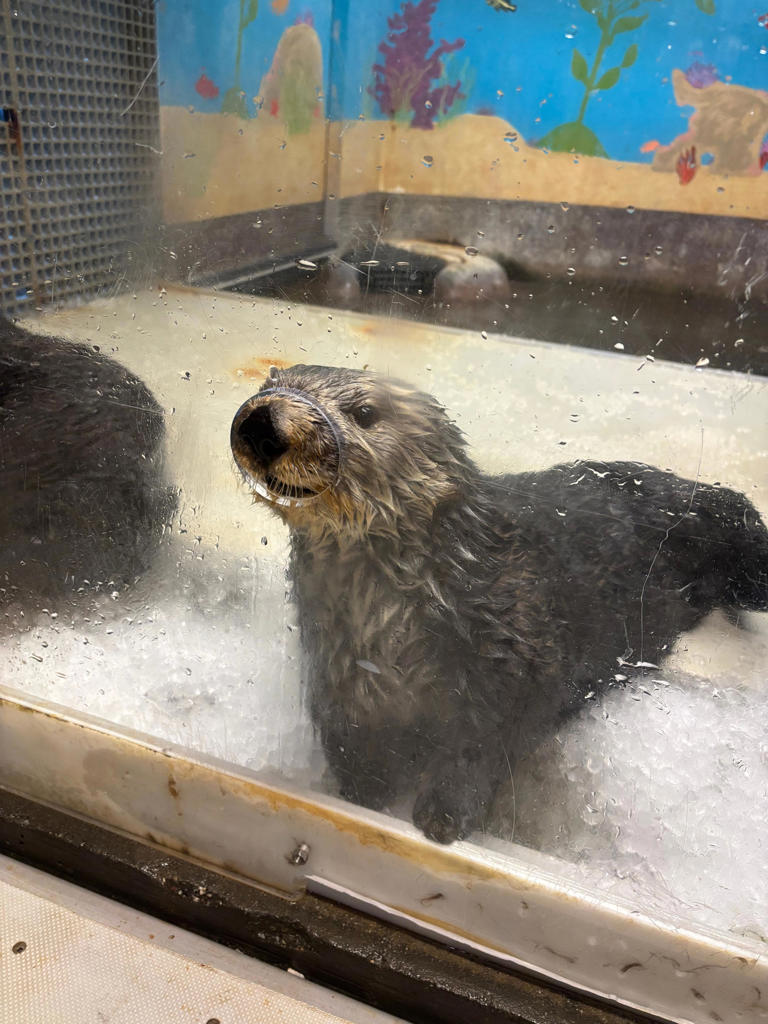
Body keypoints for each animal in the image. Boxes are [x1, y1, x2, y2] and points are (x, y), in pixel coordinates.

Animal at [231, 364, 768, 844]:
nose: (263, 421)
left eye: (365, 412)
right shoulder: (336, 662)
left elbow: (485, 744)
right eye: (270, 383)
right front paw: (362, 793)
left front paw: (444, 814)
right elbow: (349, 733)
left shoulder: (516, 651)